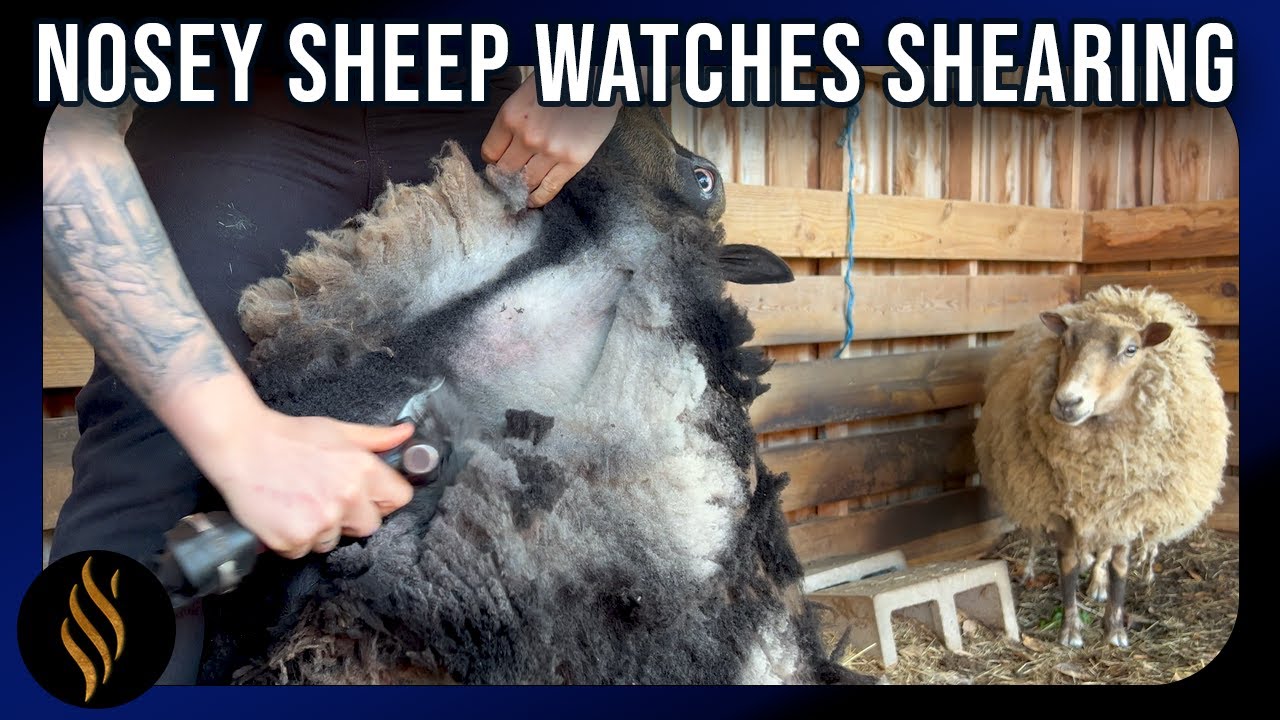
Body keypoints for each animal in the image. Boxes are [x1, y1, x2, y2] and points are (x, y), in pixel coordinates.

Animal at [973, 285, 1230, 649]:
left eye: (1131, 349)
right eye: (1065, 341)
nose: (1067, 402)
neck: (1094, 467)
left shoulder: (1130, 509)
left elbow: (1120, 566)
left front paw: (1115, 630)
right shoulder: (1062, 508)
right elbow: (1067, 563)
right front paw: (1070, 631)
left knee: (1106, 551)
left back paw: (1098, 584)